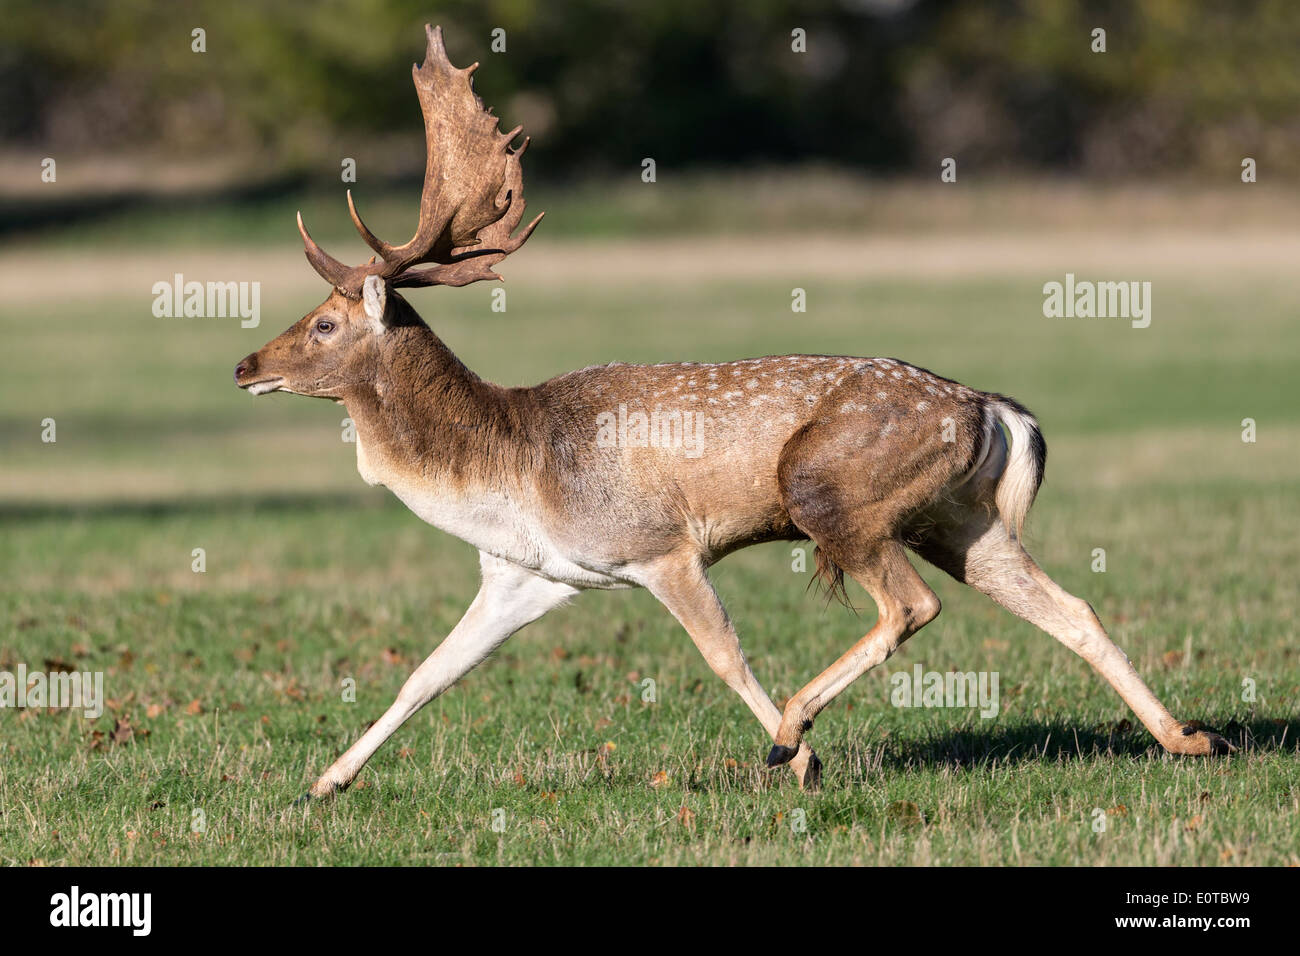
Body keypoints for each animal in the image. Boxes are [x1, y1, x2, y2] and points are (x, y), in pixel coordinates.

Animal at [234, 25, 1231, 800]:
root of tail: (993, 406)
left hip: (831, 491)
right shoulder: (530, 575)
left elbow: (723, 654)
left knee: (909, 605)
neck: (506, 472)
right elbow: (429, 673)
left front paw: (802, 762)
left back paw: (792, 731)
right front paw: (324, 781)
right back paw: (1190, 739)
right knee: (1069, 607)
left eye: (323, 323)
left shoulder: (657, 545)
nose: (245, 364)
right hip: (962, 517)